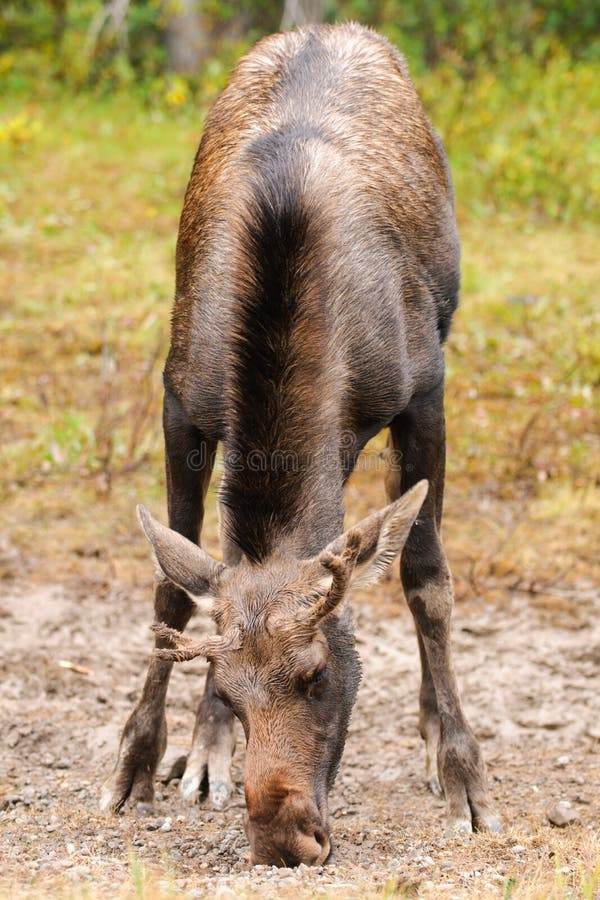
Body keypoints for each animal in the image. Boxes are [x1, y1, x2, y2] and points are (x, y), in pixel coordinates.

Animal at [101, 23, 502, 866]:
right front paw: (149, 759)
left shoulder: (424, 391)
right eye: (228, 690)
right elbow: (176, 586)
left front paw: (465, 777)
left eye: (318, 675)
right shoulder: (182, 400)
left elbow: (427, 577)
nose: (284, 839)